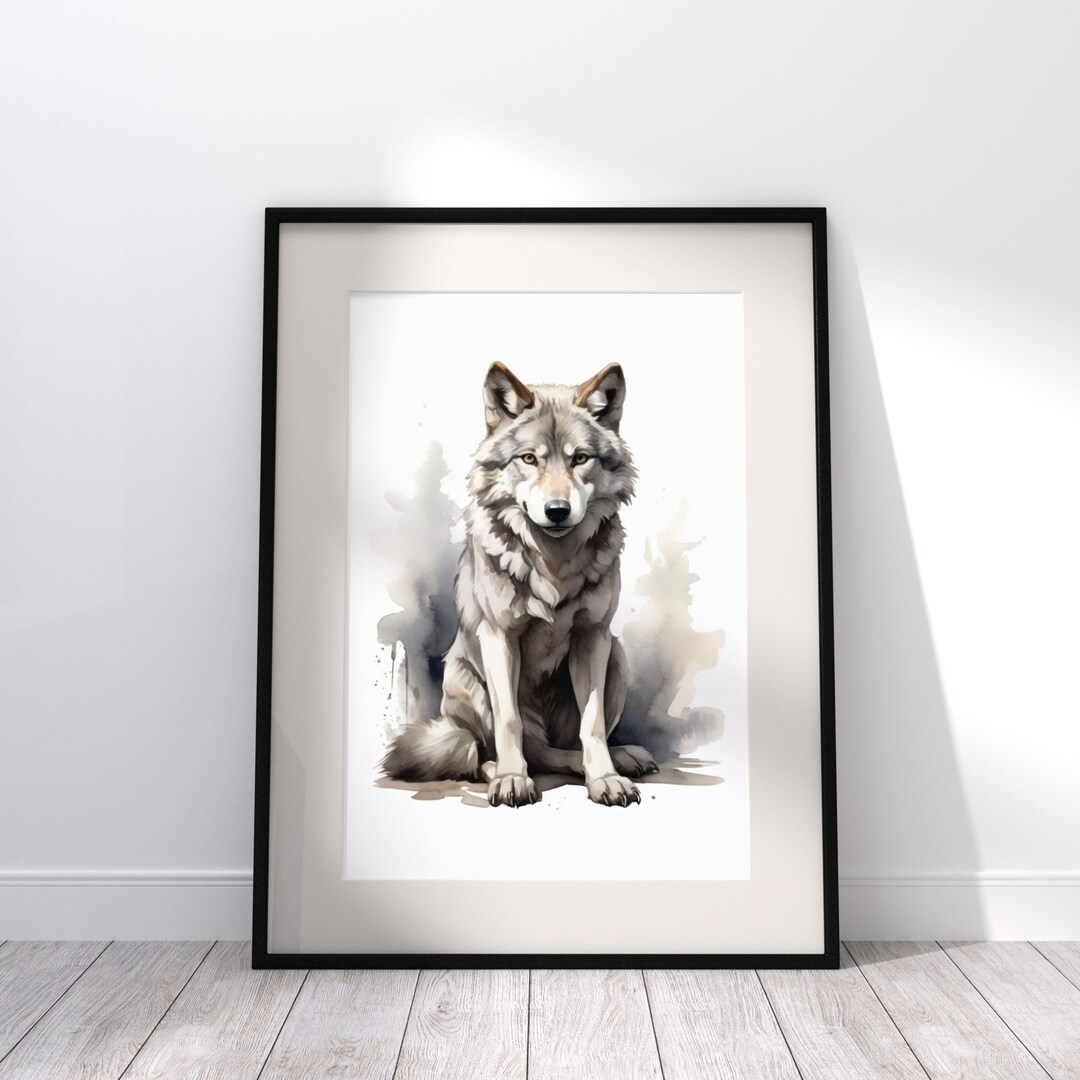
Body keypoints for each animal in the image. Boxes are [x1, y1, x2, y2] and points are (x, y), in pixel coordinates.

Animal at [382, 361, 658, 807]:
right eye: (529, 458)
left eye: (581, 459)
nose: (558, 510)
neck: (554, 562)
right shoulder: (499, 637)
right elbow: (508, 721)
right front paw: (512, 779)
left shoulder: (593, 636)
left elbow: (594, 724)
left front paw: (605, 779)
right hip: (465, 680)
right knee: (486, 752)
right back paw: (501, 770)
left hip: (616, 658)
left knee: (554, 750)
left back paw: (620, 758)